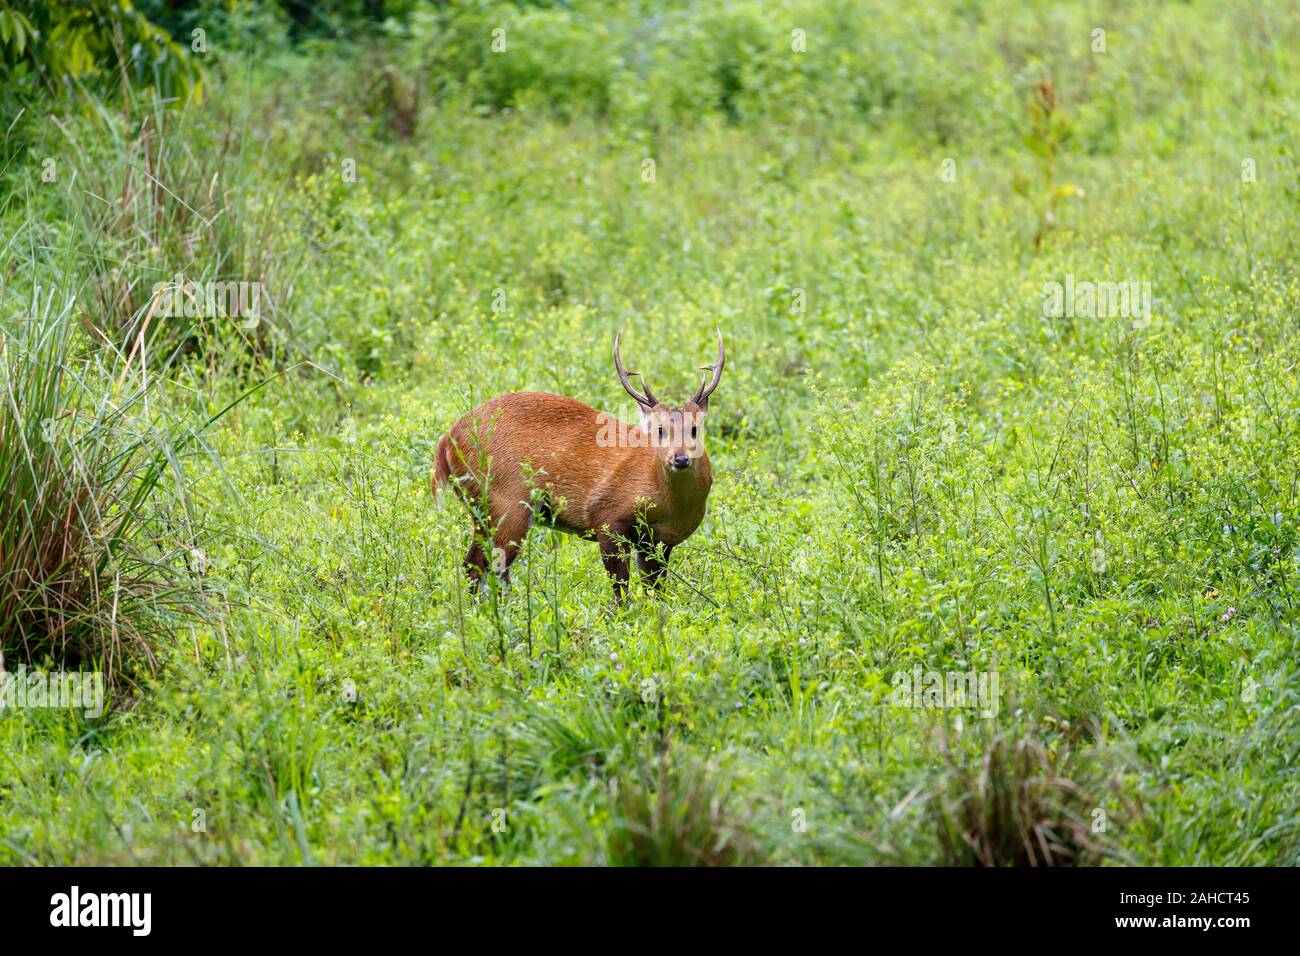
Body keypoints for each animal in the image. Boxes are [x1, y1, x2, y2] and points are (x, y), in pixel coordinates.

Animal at [432, 331, 725, 600]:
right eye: (659, 430)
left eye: (695, 428)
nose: (680, 458)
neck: (665, 504)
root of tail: (448, 439)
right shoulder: (607, 517)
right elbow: (620, 587)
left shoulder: (658, 540)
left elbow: (656, 591)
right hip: (506, 500)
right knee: (486, 566)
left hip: (482, 506)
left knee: (477, 565)